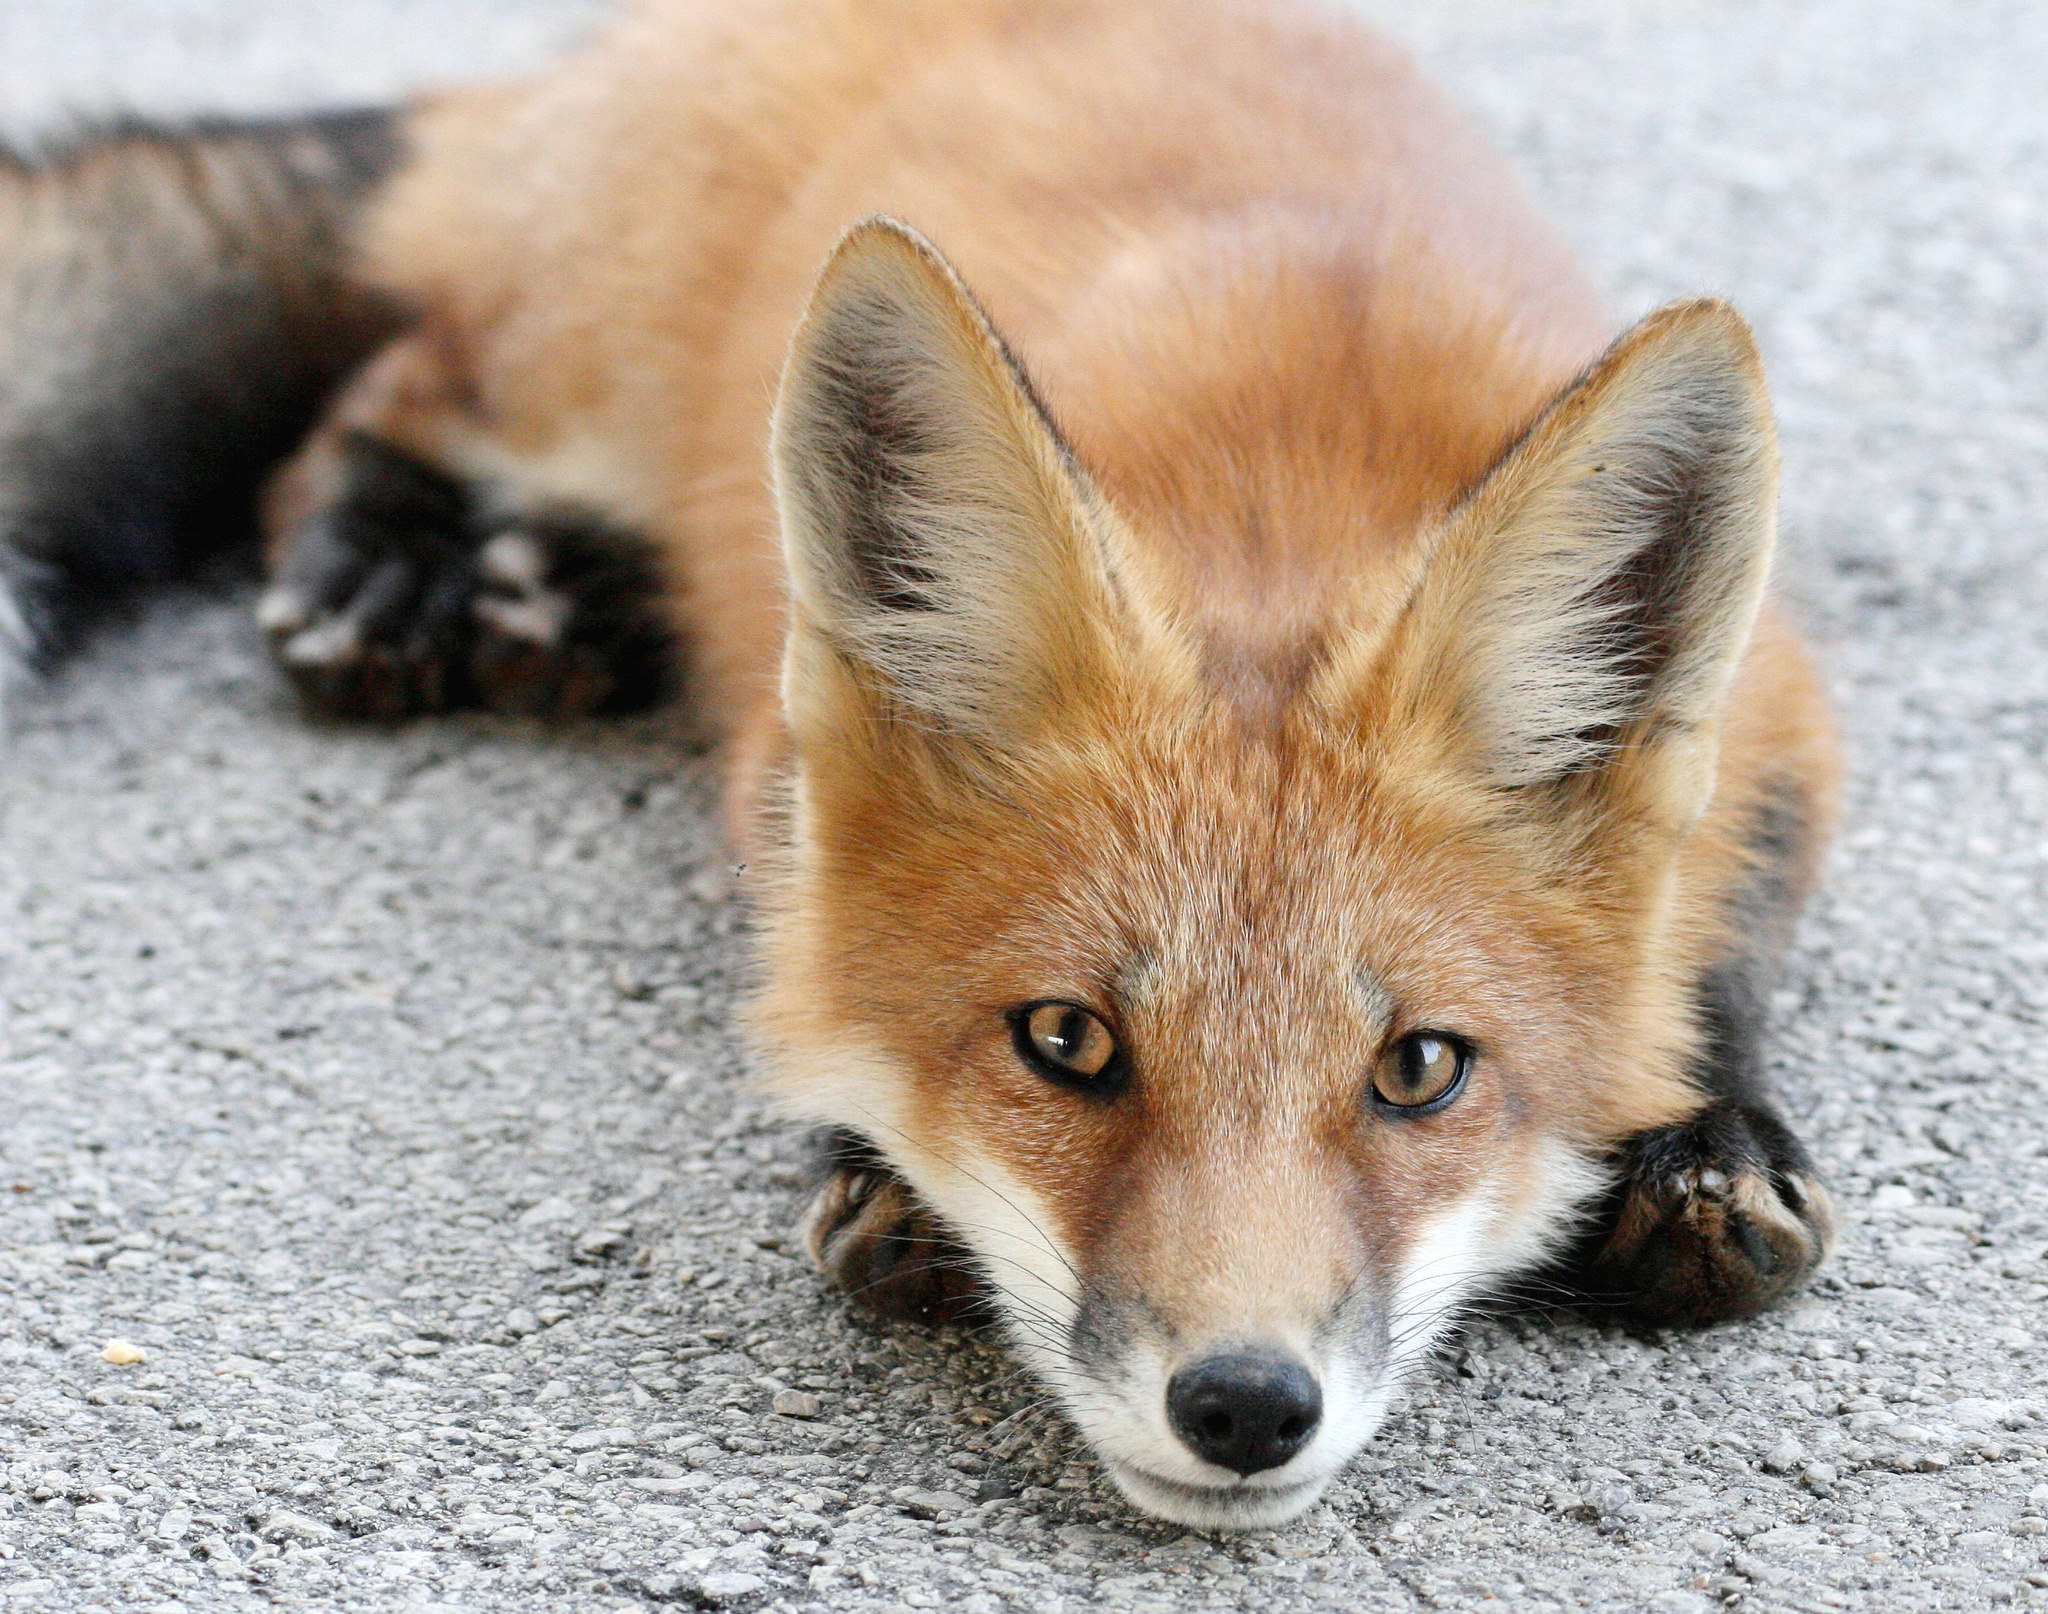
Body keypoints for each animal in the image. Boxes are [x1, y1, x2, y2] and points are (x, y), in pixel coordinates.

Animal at [0, 0, 1839, 1530]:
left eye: (1421, 1068)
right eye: (1065, 1040)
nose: (1245, 1403)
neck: (1282, 492)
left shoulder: (1782, 709)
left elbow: (1721, 934)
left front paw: (1702, 1135)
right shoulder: (773, 754)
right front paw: (884, 1169)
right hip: (581, 365)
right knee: (385, 384)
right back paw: (398, 559)